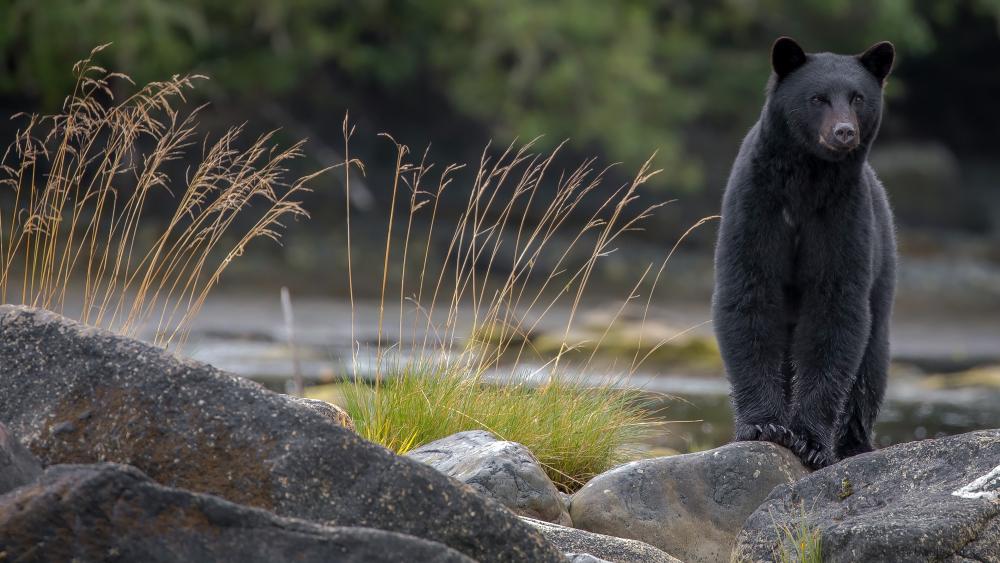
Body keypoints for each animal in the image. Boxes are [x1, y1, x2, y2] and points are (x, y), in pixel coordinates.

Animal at [711, 37, 897, 469]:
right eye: (818, 98)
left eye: (858, 97)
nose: (844, 132)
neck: (807, 181)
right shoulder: (756, 207)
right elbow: (749, 294)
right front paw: (764, 425)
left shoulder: (842, 218)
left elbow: (836, 310)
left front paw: (811, 440)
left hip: (883, 267)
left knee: (871, 363)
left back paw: (855, 443)